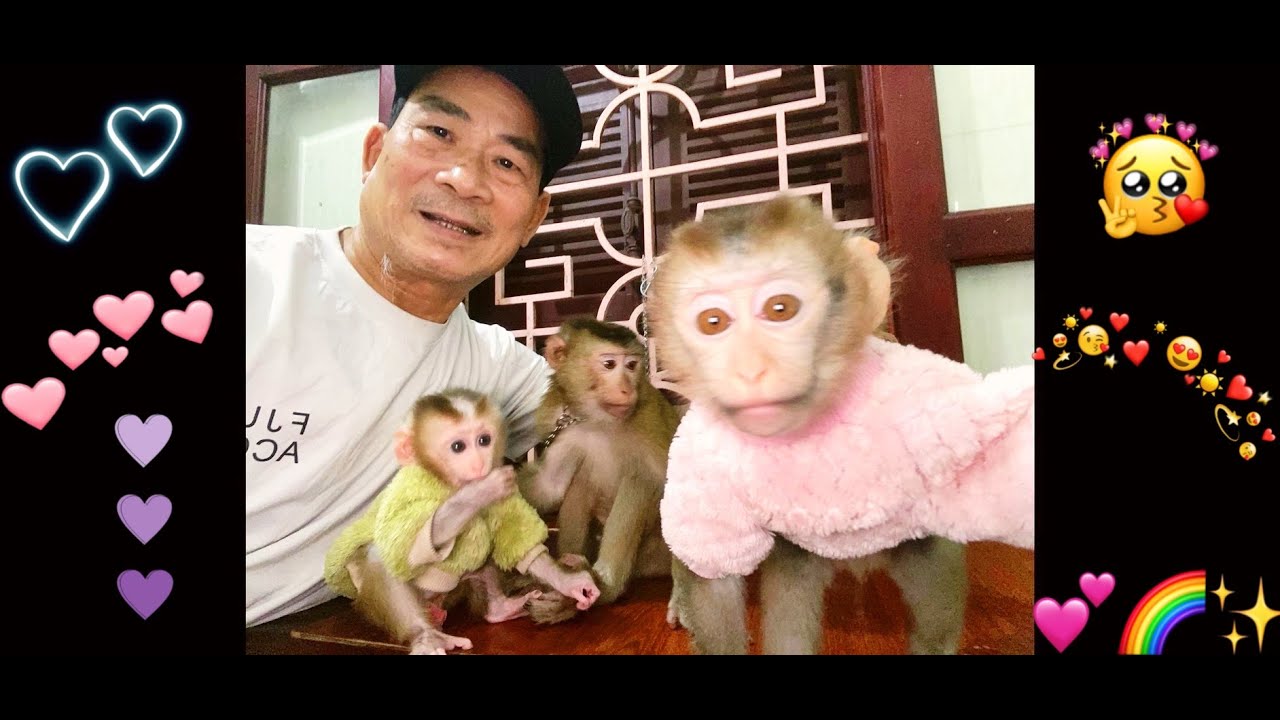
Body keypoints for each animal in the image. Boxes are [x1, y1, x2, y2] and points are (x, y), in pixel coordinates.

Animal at [322, 388, 601, 654]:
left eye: (484, 440)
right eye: (458, 447)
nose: (479, 463)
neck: (447, 483)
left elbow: (518, 541)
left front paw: (570, 582)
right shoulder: (408, 491)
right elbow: (404, 547)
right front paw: (476, 493)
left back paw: (500, 609)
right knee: (379, 560)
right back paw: (427, 637)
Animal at [514, 316, 683, 624]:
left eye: (632, 365)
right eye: (609, 364)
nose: (627, 389)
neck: (598, 421)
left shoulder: (648, 421)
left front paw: (681, 599)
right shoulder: (565, 427)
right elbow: (548, 486)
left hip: (654, 554)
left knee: (638, 483)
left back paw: (605, 585)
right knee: (581, 480)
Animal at [646, 194, 1034, 655]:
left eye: (780, 309)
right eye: (713, 322)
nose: (750, 370)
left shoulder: (932, 405)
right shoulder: (704, 457)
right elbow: (717, 575)